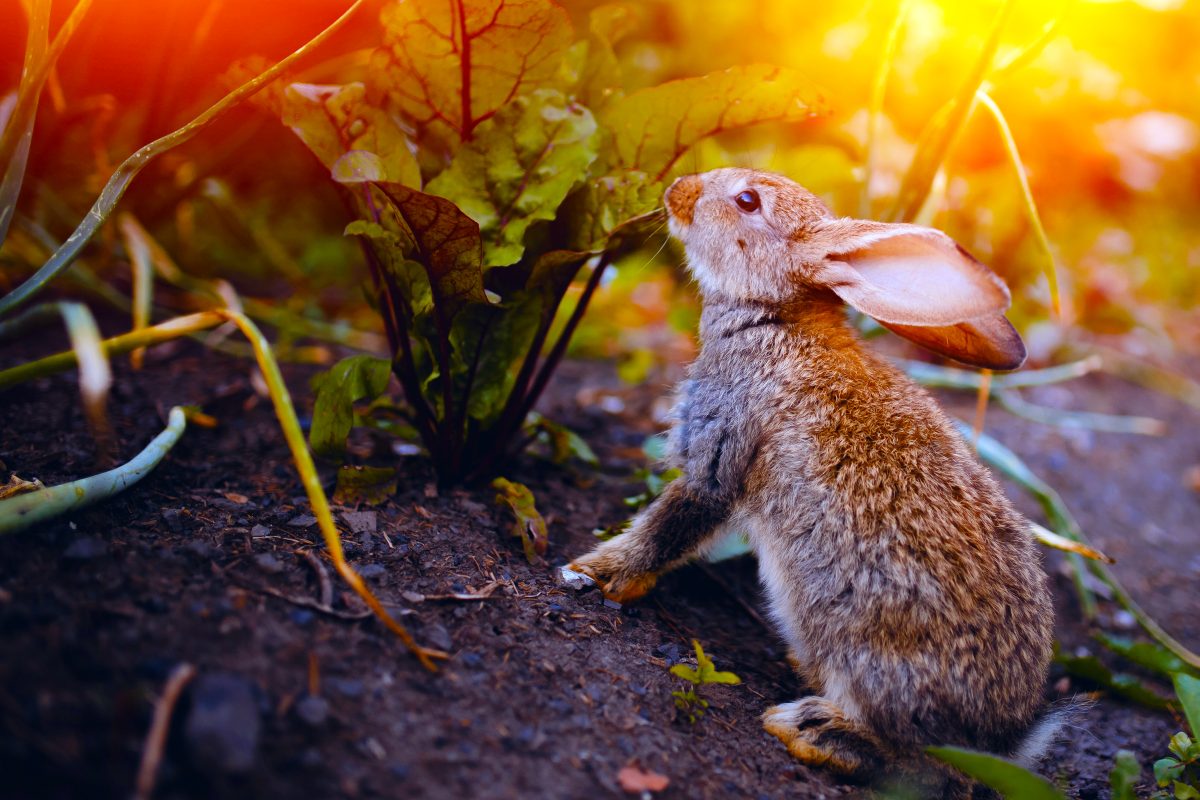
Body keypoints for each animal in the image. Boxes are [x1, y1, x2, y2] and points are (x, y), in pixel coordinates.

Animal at [569, 168, 1064, 793]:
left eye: (747, 201)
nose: (679, 189)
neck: (774, 314)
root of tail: (1004, 740)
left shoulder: (720, 447)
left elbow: (673, 521)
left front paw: (594, 571)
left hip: (867, 657)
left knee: (923, 767)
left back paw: (812, 730)